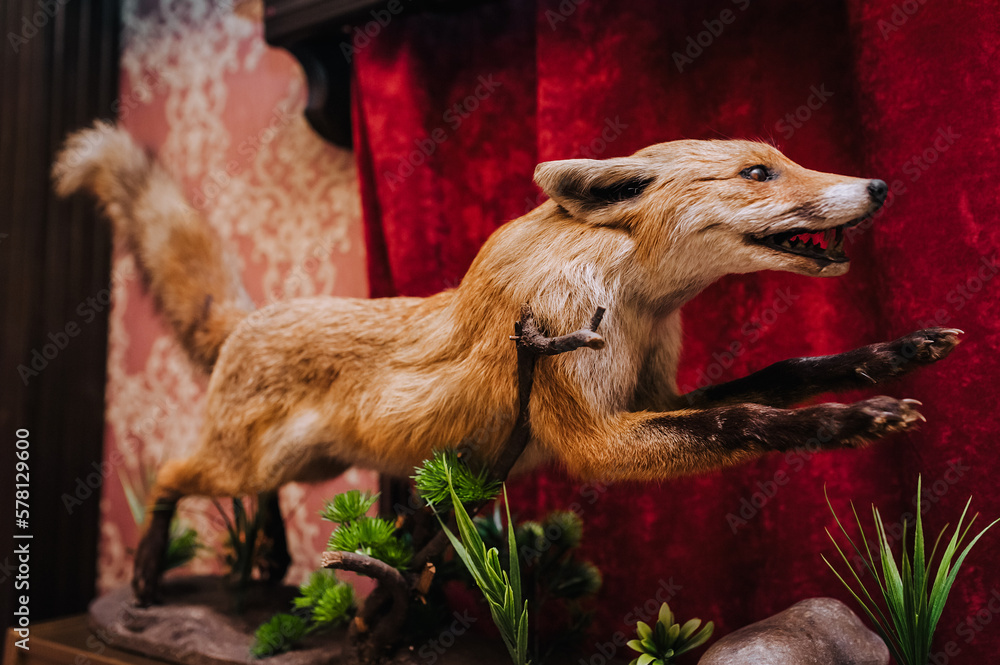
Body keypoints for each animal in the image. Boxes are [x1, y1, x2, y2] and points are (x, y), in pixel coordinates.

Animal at [53, 122, 960, 605]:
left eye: (777, 159)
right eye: (758, 170)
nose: (879, 185)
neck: (633, 301)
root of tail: (252, 318)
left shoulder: (654, 388)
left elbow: (783, 371)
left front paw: (892, 356)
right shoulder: (592, 426)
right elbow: (743, 416)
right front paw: (852, 421)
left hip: (301, 465)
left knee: (256, 495)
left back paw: (271, 557)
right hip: (245, 457)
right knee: (173, 470)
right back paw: (147, 569)